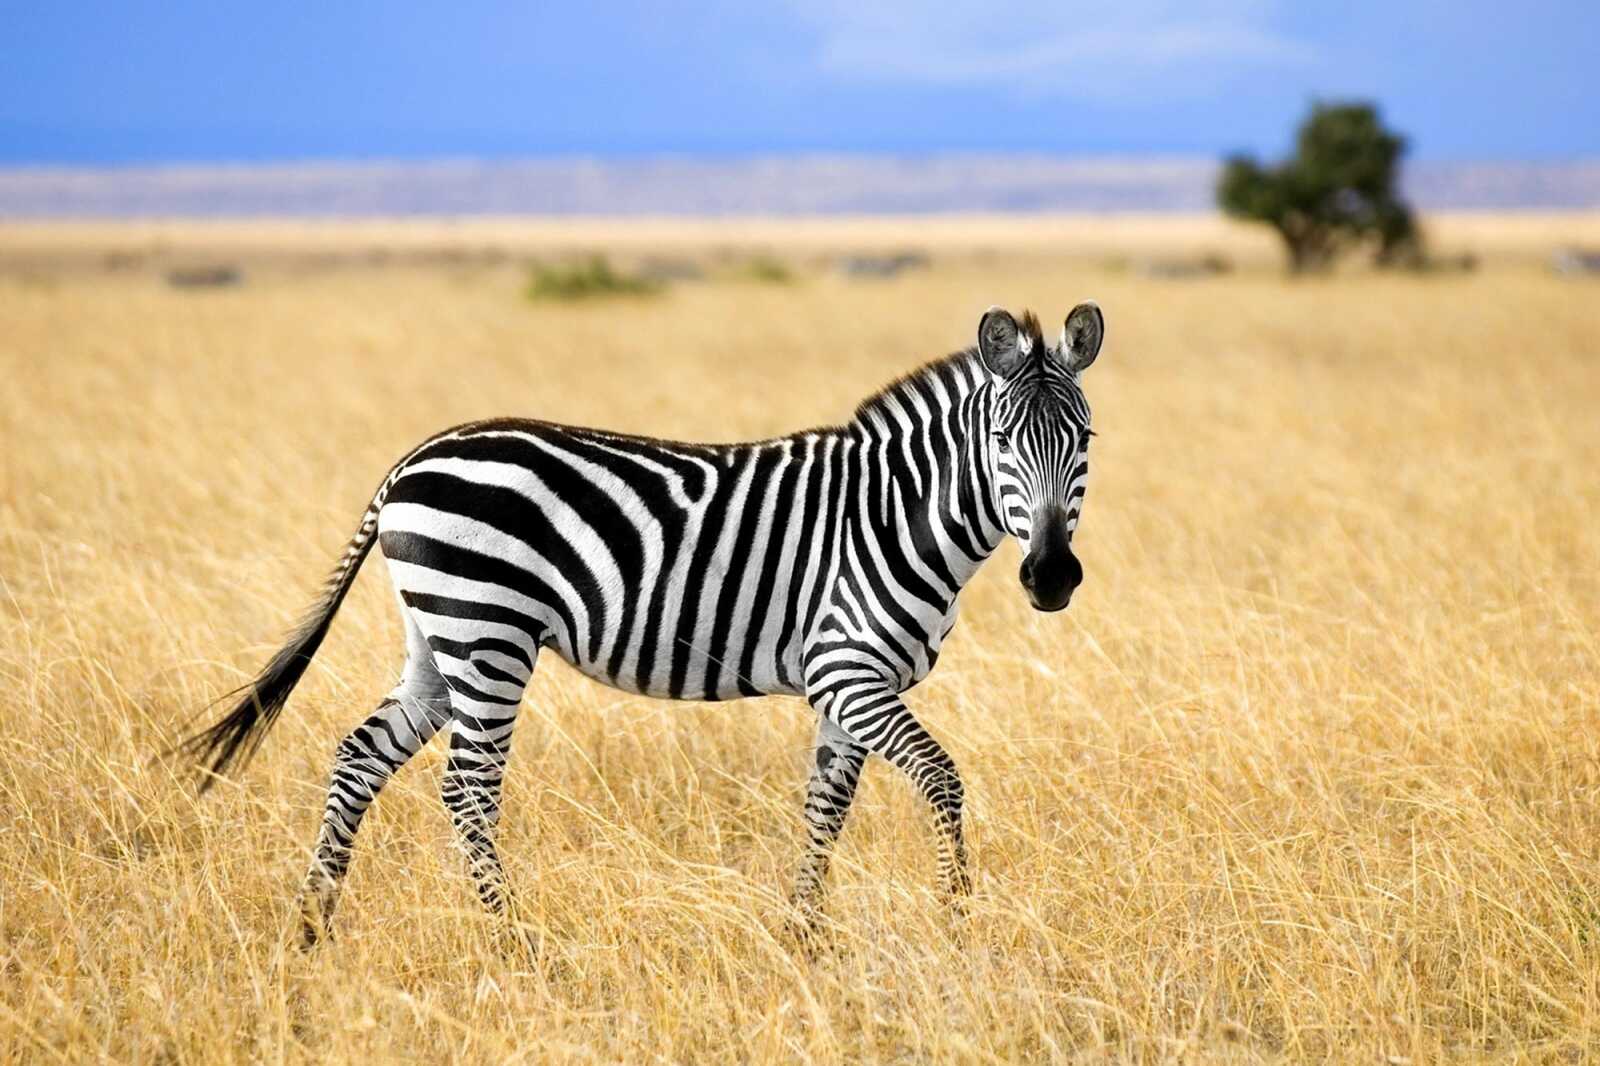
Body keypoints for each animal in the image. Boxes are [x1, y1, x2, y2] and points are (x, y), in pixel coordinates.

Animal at [183, 302, 1104, 945]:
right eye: (1003, 439)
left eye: (1086, 438)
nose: (1053, 577)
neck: (892, 513)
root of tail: (412, 460)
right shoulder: (847, 668)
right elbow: (942, 781)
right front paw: (959, 926)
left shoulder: (849, 688)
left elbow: (825, 809)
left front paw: (804, 939)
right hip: (489, 632)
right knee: (467, 790)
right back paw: (515, 944)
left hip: (438, 641)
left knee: (358, 758)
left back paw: (313, 926)